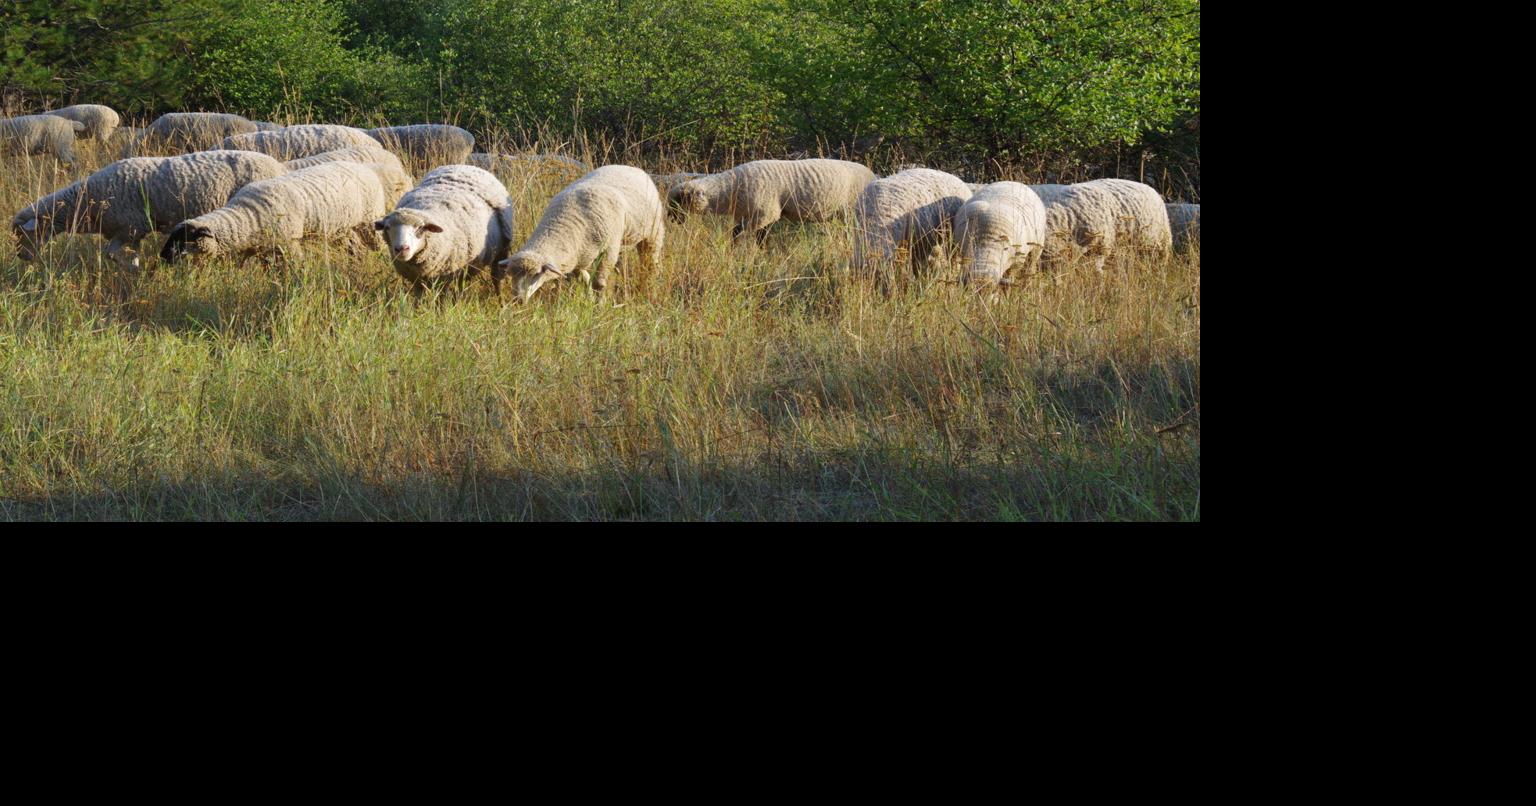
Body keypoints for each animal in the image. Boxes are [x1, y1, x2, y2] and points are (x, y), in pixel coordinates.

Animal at [11, 150, 289, 271]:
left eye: (24, 234)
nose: (22, 257)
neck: (87, 201)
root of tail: (279, 167)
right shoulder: (135, 232)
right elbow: (127, 253)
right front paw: (135, 268)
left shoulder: (128, 228)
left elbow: (110, 254)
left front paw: (133, 270)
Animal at [160, 160, 410, 264]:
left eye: (183, 240)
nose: (162, 257)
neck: (247, 216)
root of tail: (363, 167)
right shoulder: (259, 247)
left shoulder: (289, 242)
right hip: (341, 227)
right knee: (353, 245)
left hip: (367, 220)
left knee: (376, 245)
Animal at [373, 165, 516, 296]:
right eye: (387, 227)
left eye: (419, 228)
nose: (402, 248)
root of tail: (465, 165)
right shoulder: (417, 280)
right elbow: (418, 299)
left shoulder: (444, 277)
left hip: (501, 250)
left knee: (496, 277)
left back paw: (499, 298)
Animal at [494, 165, 665, 303]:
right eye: (511, 275)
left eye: (536, 274)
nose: (518, 300)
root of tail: (631, 167)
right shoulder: (579, 257)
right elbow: (584, 280)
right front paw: (589, 300)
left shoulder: (608, 251)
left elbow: (599, 284)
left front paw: (599, 306)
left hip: (653, 231)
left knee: (650, 263)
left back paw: (650, 290)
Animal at [666, 158, 875, 245]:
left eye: (677, 201)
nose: (670, 219)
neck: (729, 189)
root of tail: (873, 175)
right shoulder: (756, 217)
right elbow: (755, 238)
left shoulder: (764, 215)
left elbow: (740, 235)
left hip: (852, 212)